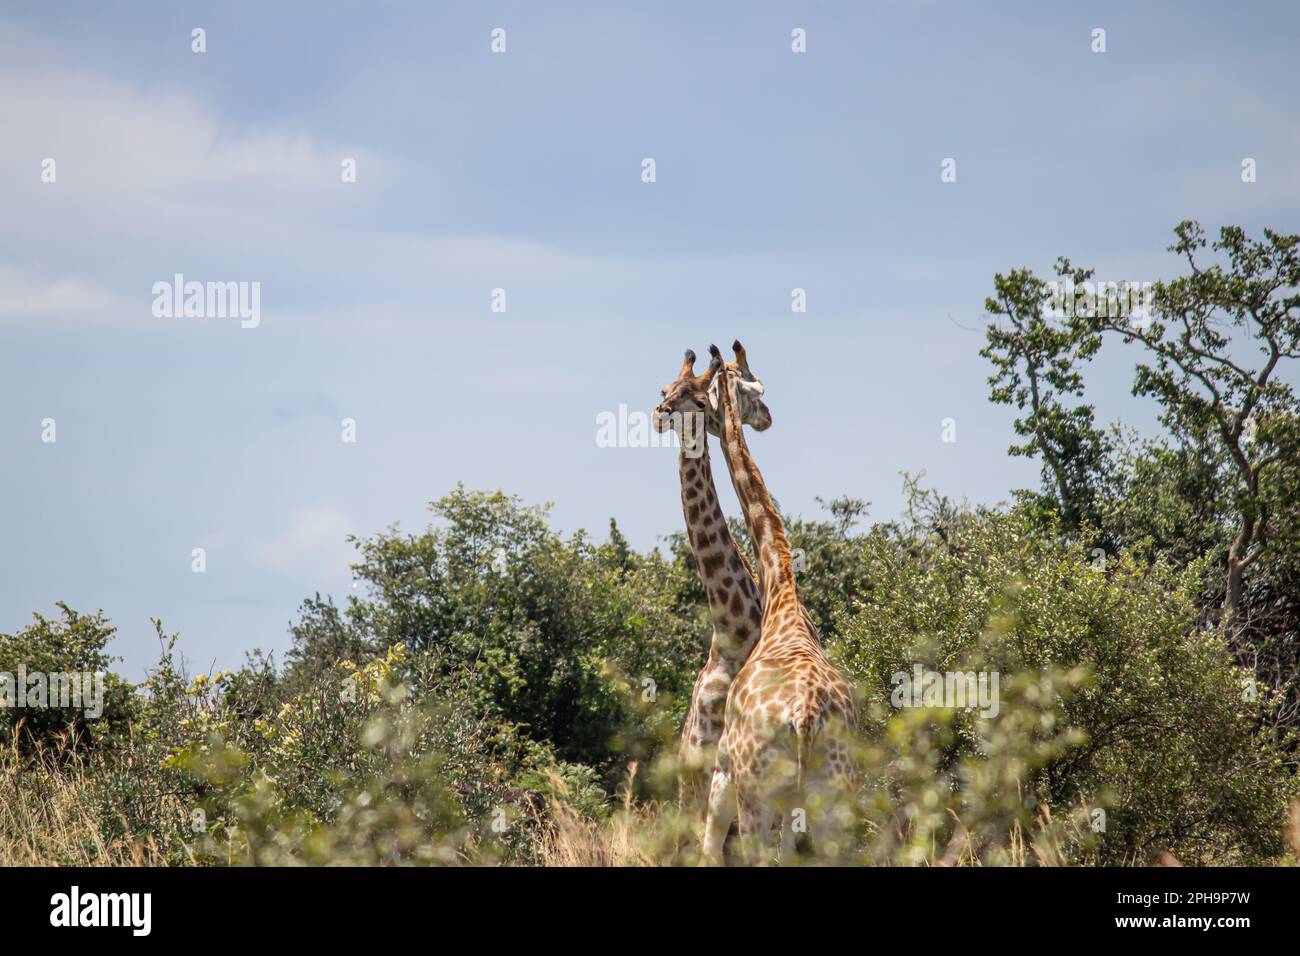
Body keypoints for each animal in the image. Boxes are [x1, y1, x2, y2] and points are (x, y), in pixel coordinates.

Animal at [701, 342, 859, 866]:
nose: (768, 417)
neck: (781, 592)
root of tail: (806, 717)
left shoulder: (723, 770)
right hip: (835, 793)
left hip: (756, 794)